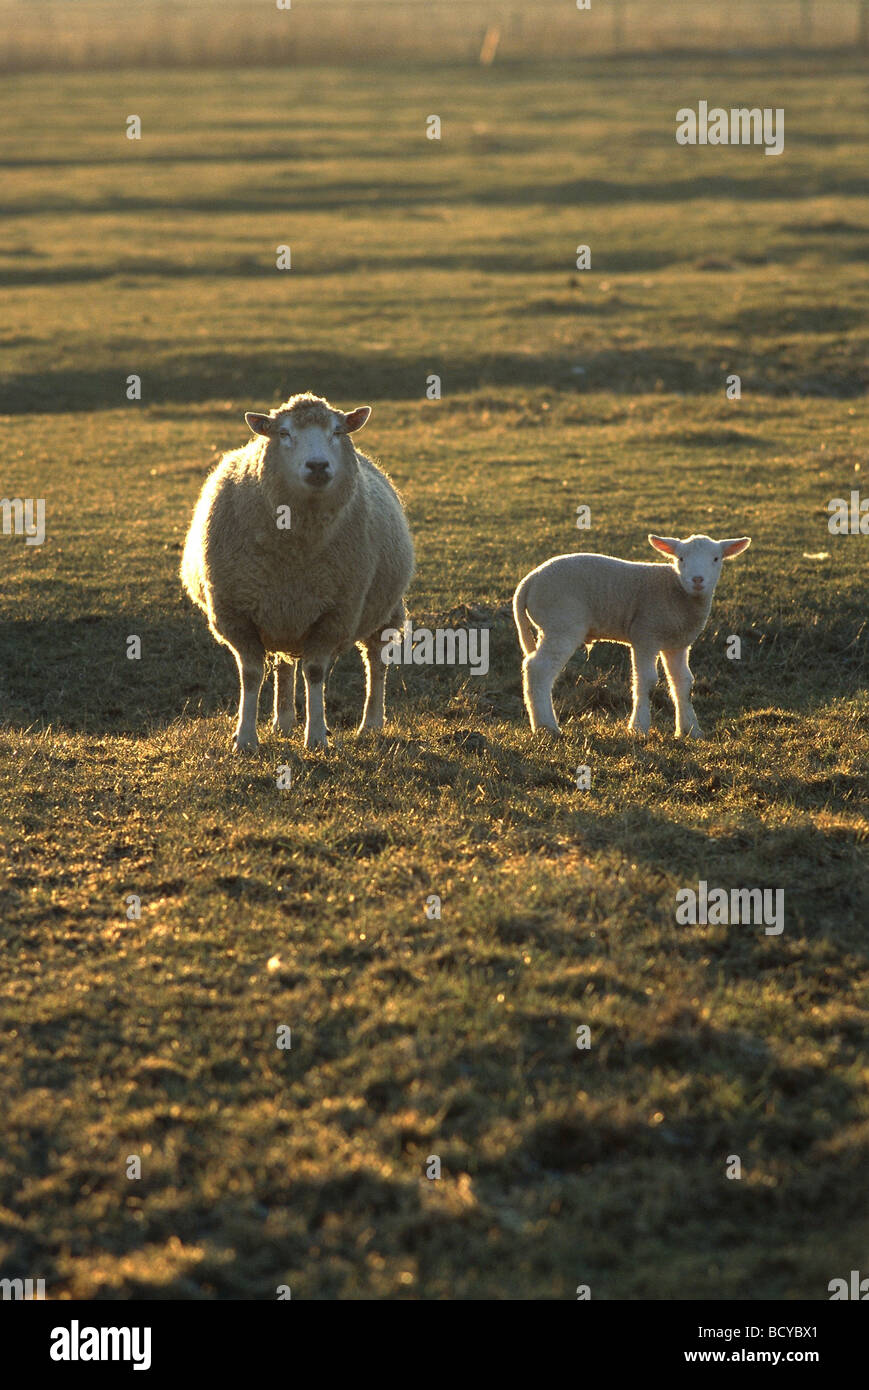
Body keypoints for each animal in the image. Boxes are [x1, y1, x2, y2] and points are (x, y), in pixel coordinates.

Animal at [181, 391, 414, 751]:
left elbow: (315, 672)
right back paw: (283, 721)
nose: (318, 466)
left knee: (375, 660)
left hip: (384, 610)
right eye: (284, 433)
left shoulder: (335, 614)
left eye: (337, 431)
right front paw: (245, 739)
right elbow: (251, 675)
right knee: (283, 665)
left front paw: (317, 736)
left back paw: (371, 723)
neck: (295, 547)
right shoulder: (236, 614)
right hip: (281, 613)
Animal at [513, 533, 751, 738]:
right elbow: (646, 680)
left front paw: (690, 730)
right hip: (561, 623)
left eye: (716, 558)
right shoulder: (645, 634)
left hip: (552, 625)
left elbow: (683, 682)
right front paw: (638, 727)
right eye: (681, 558)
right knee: (538, 669)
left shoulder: (677, 644)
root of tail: (529, 581)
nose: (698, 580)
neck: (676, 591)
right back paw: (546, 727)